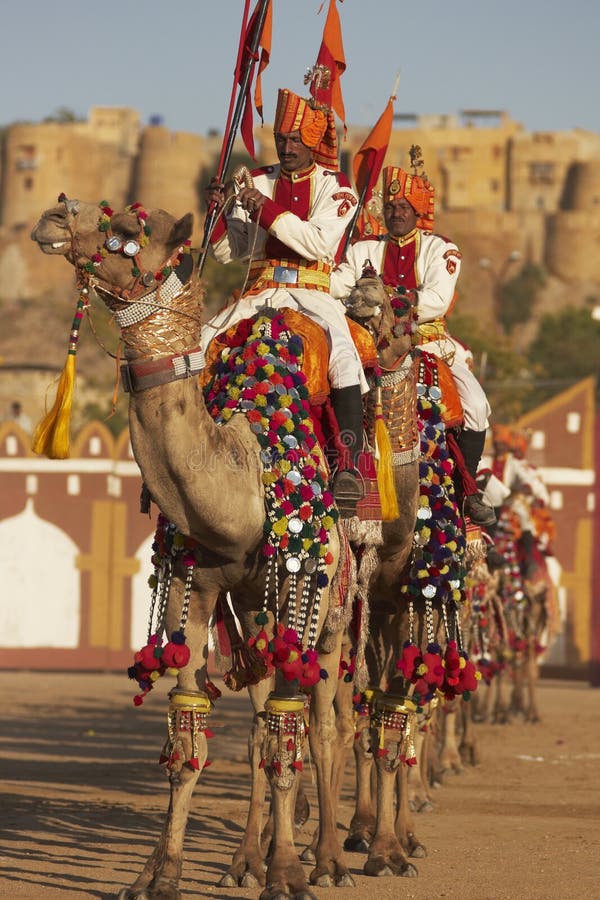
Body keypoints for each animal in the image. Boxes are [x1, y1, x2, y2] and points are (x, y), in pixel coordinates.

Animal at [31, 196, 357, 900]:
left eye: (129, 231)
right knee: (260, 723)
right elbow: (188, 736)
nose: (54, 214)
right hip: (254, 610)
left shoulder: (300, 589)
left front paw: (288, 876)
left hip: (335, 615)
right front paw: (162, 876)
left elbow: (291, 732)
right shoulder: (196, 586)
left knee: (321, 727)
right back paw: (242, 860)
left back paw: (331, 858)